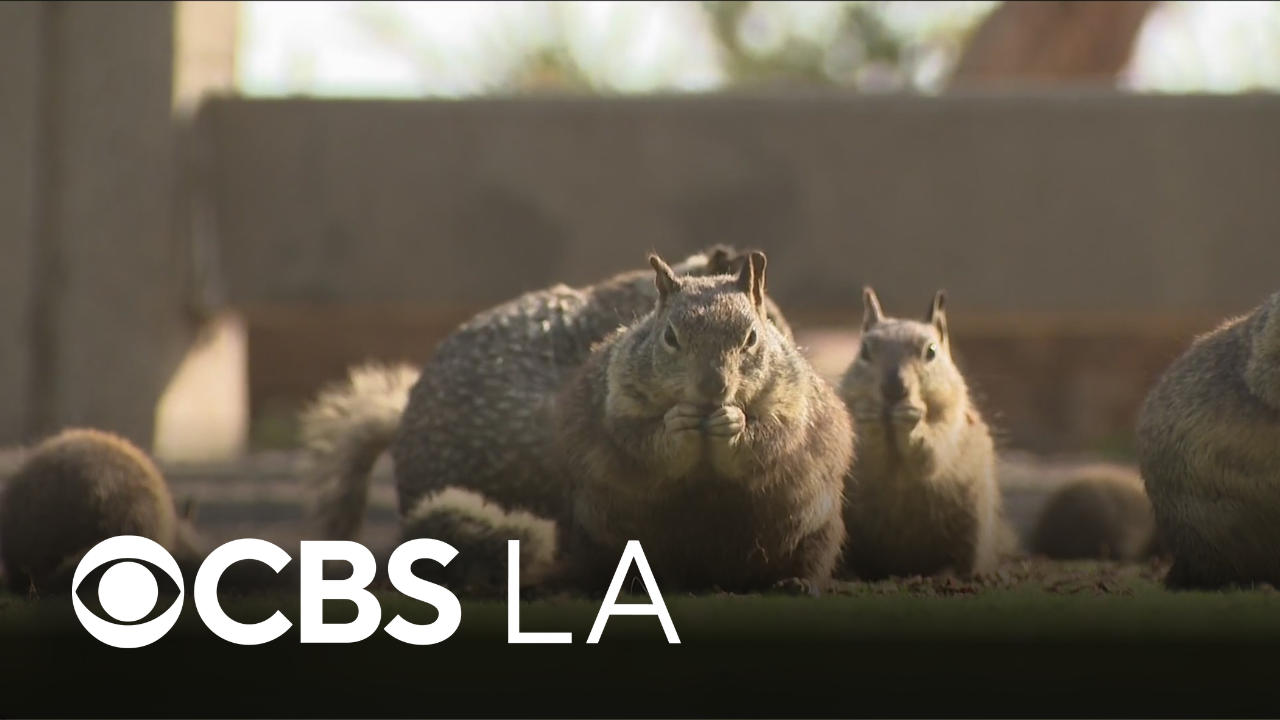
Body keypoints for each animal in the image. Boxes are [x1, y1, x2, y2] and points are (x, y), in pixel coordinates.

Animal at [551, 251, 854, 595]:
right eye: (669, 336)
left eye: (752, 337)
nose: (713, 387)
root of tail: (710, 577)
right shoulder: (619, 402)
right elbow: (640, 443)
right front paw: (677, 425)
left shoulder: (792, 404)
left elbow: (773, 440)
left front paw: (733, 424)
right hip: (595, 537)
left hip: (819, 531)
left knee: (812, 562)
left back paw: (796, 583)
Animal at [838, 287, 1014, 581]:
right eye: (864, 350)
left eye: (931, 351)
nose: (894, 388)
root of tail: (901, 567)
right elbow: (863, 453)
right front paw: (868, 415)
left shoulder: (950, 422)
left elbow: (932, 451)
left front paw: (912, 418)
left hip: (970, 519)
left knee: (961, 557)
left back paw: (950, 573)